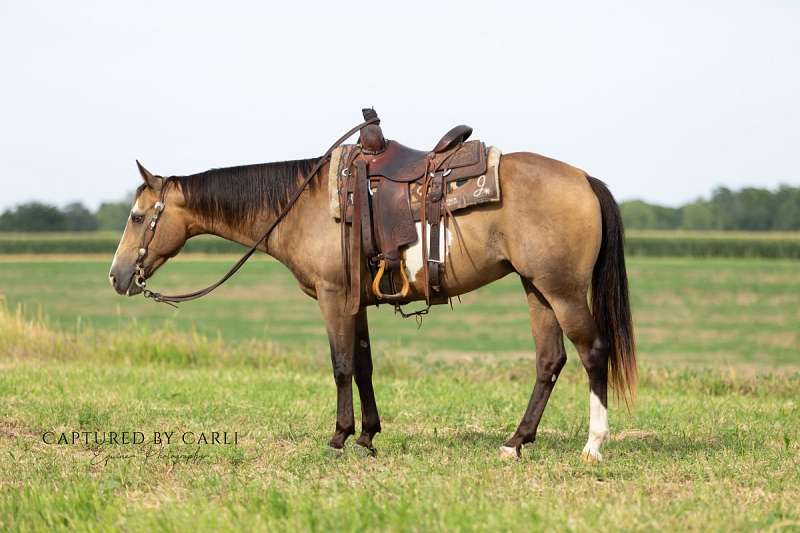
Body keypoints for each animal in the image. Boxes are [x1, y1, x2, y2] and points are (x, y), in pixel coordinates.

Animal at [109, 142, 636, 462]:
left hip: (562, 290)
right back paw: (515, 442)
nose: (116, 276)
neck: (302, 205)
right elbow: (363, 364)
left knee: (593, 353)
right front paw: (367, 435)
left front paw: (339, 436)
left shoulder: (332, 296)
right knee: (550, 360)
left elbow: (341, 364)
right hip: (536, 288)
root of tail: (584, 179)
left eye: (136, 217)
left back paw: (593, 445)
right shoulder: (355, 302)